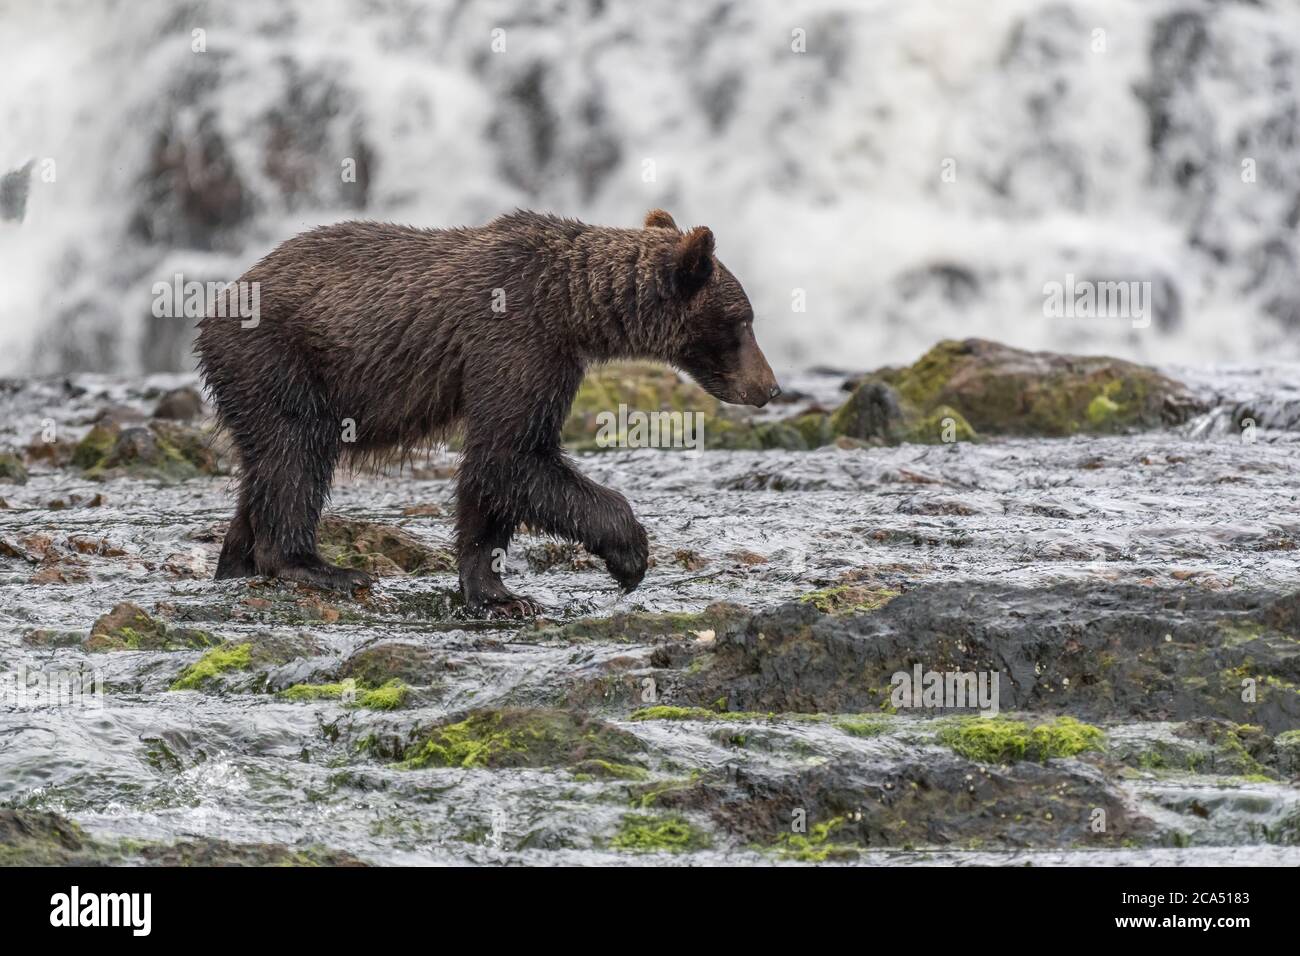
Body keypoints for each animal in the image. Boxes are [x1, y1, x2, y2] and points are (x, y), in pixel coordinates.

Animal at [195, 209, 780, 614]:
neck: (572, 308)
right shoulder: (517, 339)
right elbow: (511, 456)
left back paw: (238, 562)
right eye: (744, 320)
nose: (769, 387)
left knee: (265, 469)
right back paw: (318, 567)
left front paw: (497, 591)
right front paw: (629, 555)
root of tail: (220, 300)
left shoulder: (547, 359)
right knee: (297, 455)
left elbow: (494, 476)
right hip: (281, 361)